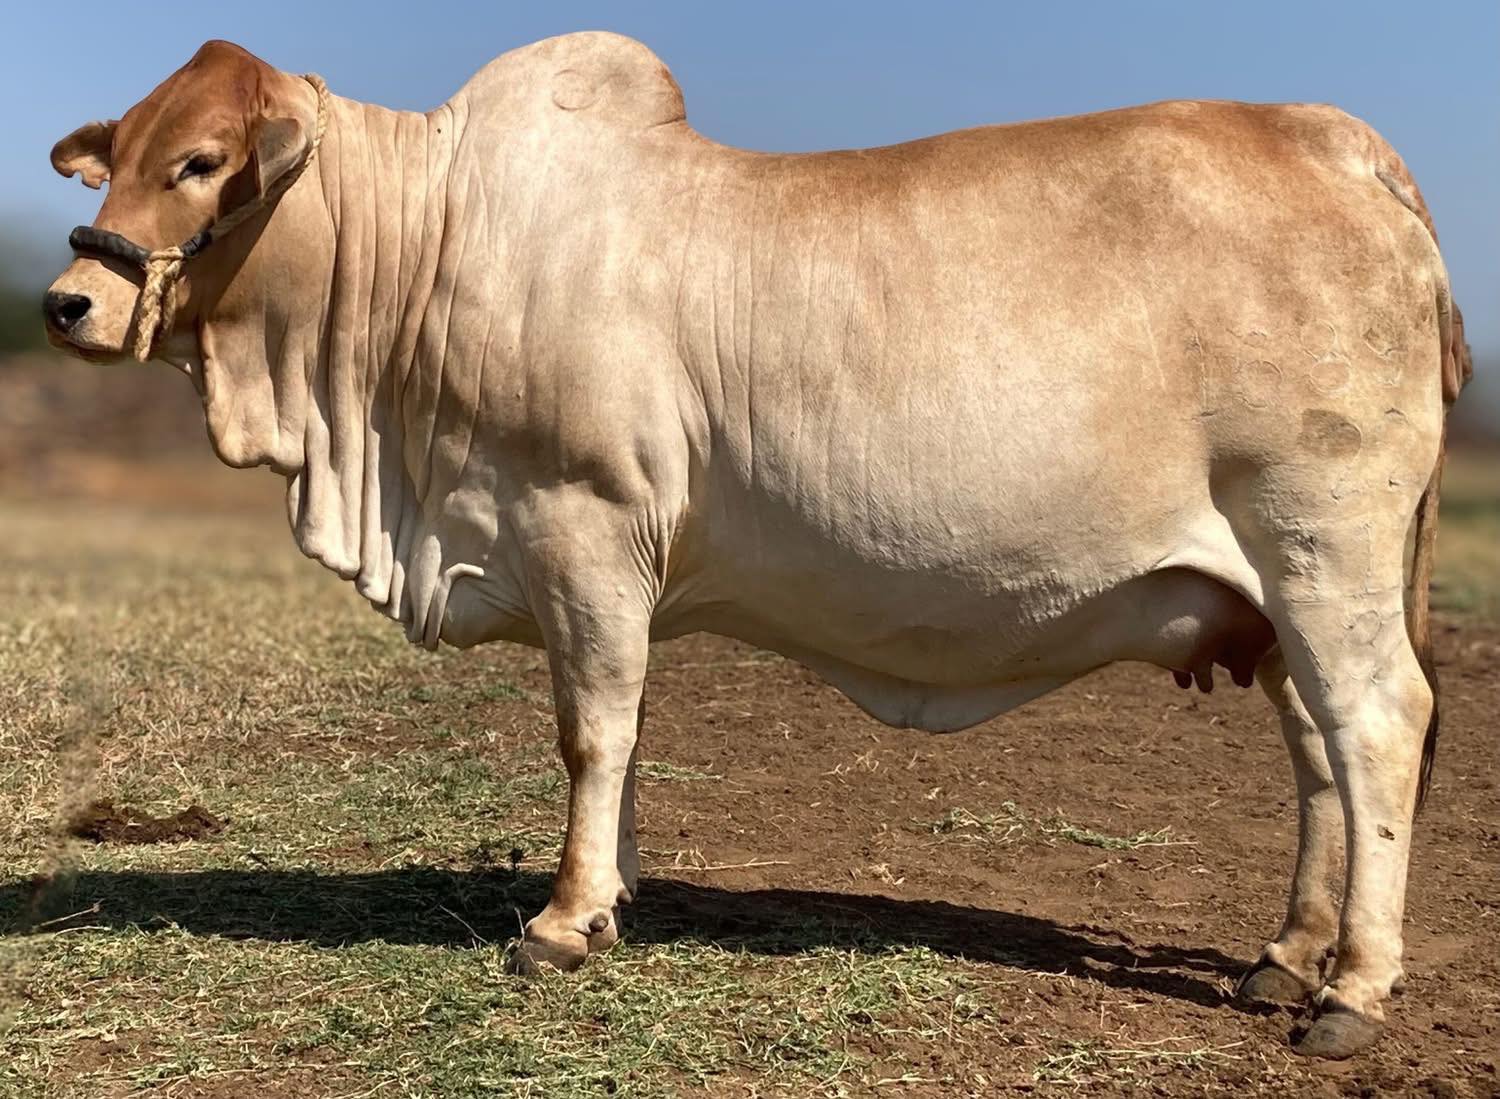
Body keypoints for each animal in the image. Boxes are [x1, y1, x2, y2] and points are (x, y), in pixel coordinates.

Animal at [43, 34, 1468, 1059]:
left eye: (200, 161)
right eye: (118, 154)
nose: (67, 302)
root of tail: (1340, 144)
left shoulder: (587, 528)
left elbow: (594, 730)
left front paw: (563, 921)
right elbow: (622, 736)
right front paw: (616, 892)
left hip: (1322, 550)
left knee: (1379, 726)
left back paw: (1351, 993)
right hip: (1270, 595)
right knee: (1319, 753)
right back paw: (1284, 956)